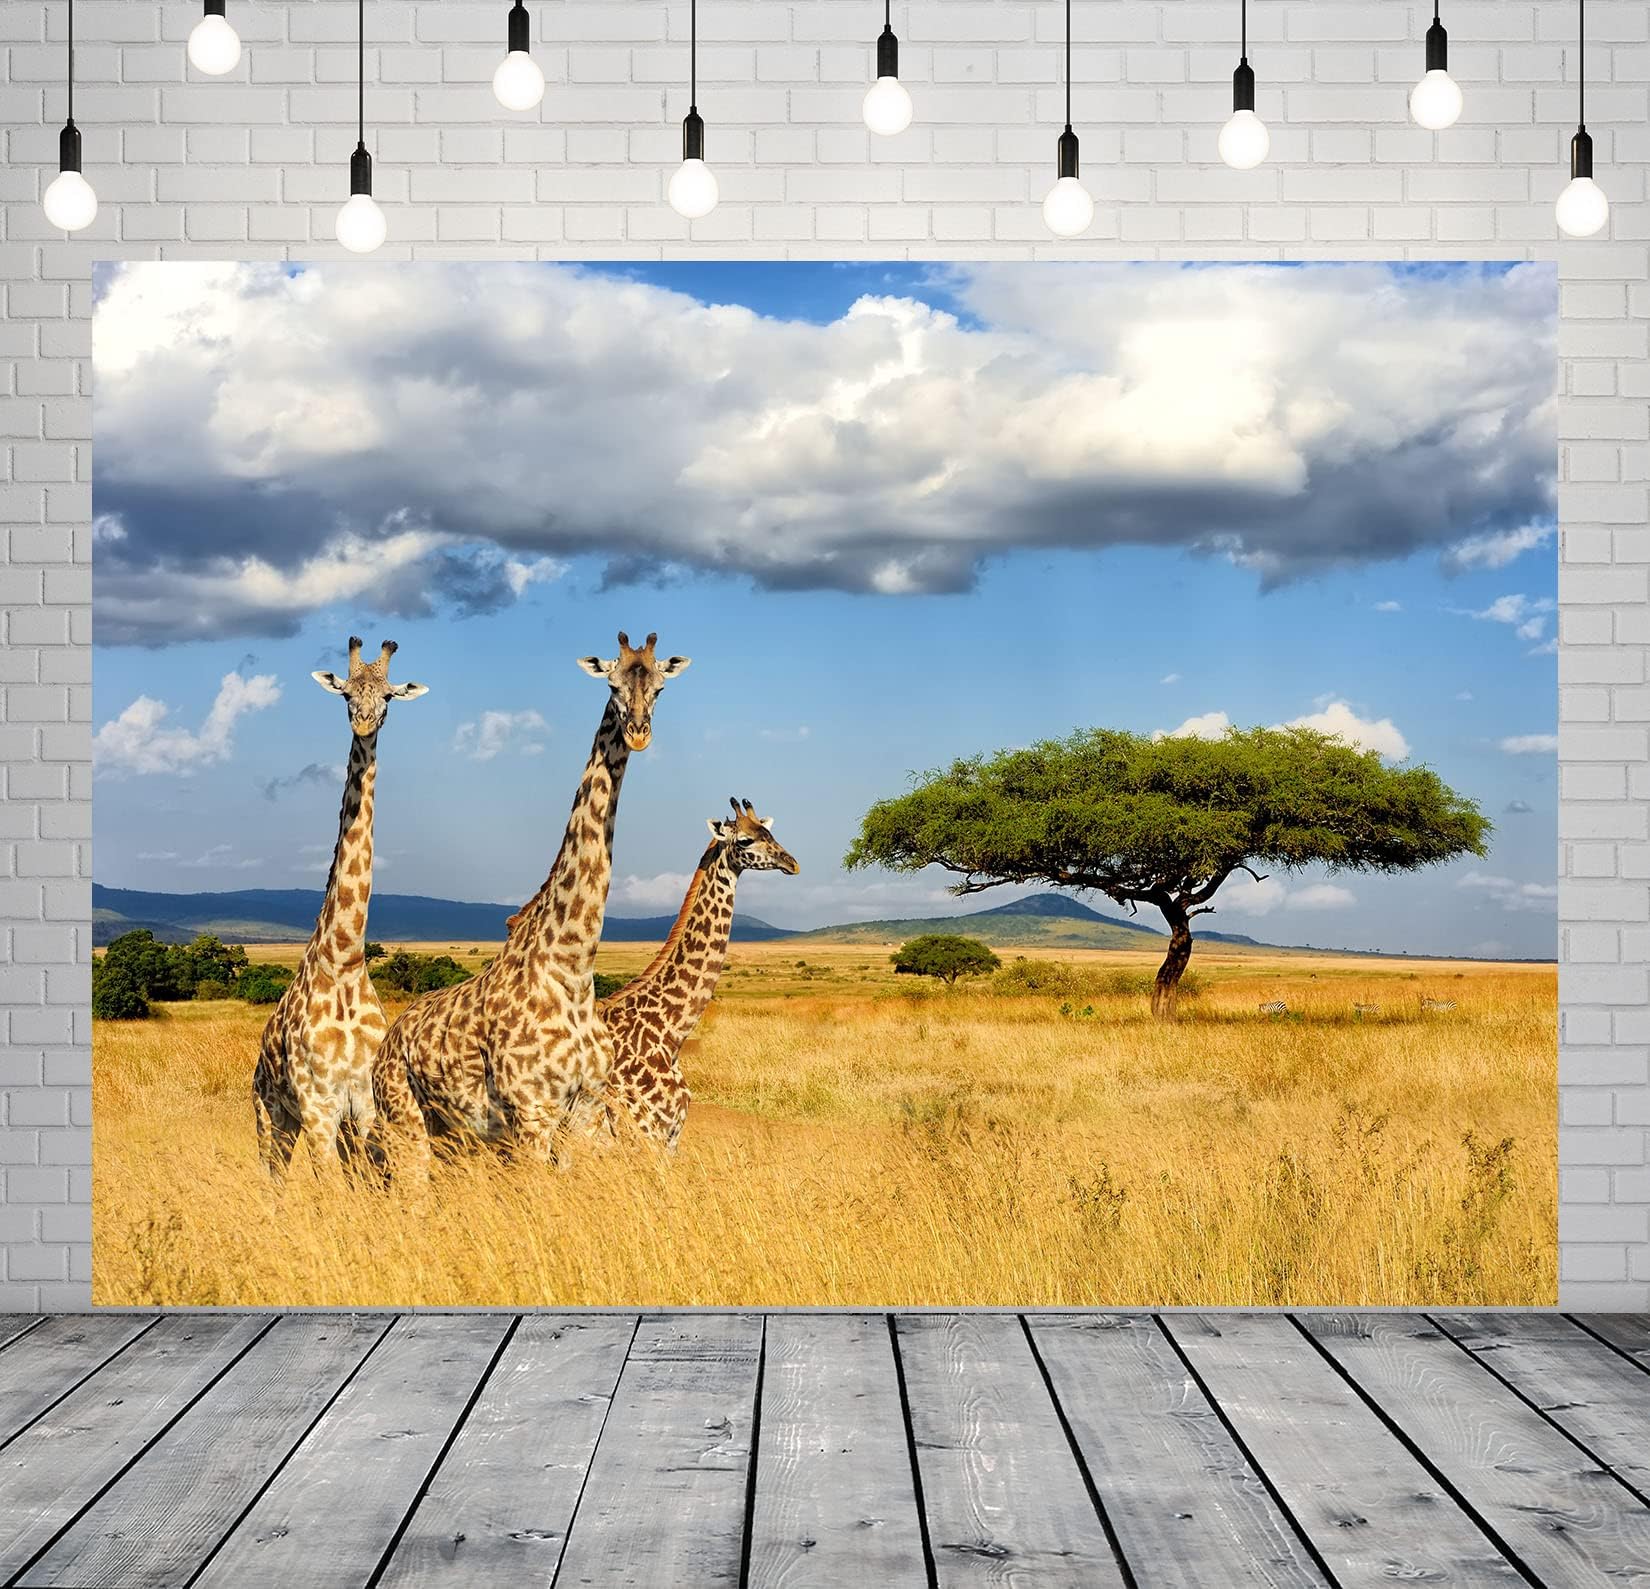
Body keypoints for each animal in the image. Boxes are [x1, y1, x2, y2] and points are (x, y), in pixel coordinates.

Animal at [252, 637, 428, 1184]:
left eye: (389, 696)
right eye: (346, 693)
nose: (365, 723)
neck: (346, 959)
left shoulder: (365, 1105)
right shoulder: (317, 1105)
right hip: (271, 1115)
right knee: (273, 1177)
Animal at [370, 631, 689, 1177]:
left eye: (661, 687)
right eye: (611, 684)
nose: (638, 733)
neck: (573, 967)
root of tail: (388, 1042)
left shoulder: (585, 1111)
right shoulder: (533, 1113)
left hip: (450, 1133)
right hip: (403, 1119)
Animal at [601, 799, 798, 1148]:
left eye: (770, 833)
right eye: (745, 840)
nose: (792, 863)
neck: (669, 1034)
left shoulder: (670, 1137)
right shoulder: (644, 1136)